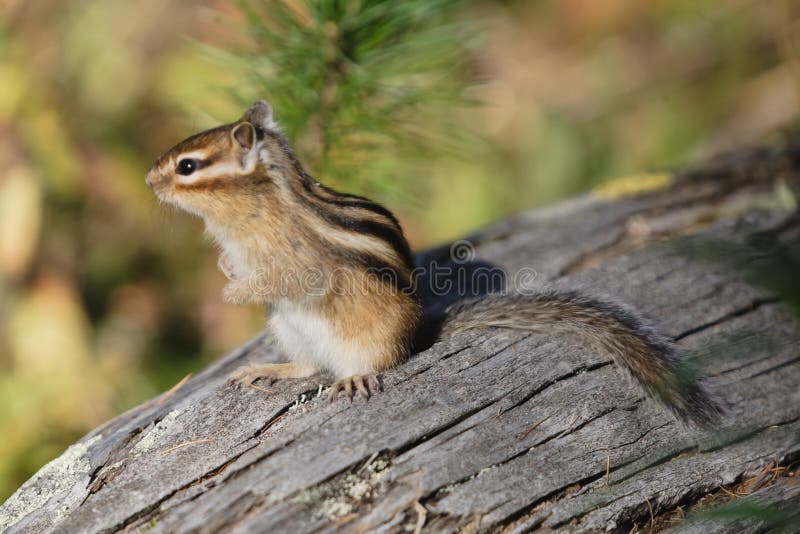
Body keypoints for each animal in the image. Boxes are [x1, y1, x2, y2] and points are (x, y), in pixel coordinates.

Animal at [145, 101, 721, 425]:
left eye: (188, 167)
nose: (149, 181)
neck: (259, 202)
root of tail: (419, 330)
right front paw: (227, 274)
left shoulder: (296, 258)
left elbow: (287, 279)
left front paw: (232, 291)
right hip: (290, 329)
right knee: (308, 367)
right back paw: (269, 368)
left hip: (364, 338)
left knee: (370, 364)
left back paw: (356, 378)